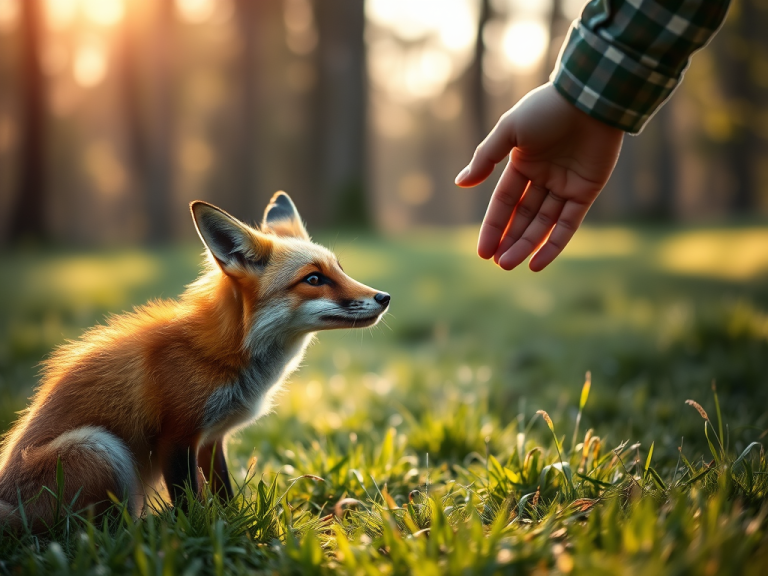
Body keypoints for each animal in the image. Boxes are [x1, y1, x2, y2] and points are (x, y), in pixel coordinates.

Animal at [0, 192, 390, 531]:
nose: (384, 297)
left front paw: (234, 527)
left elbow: (225, 494)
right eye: (313, 279)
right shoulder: (176, 437)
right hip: (99, 447)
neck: (228, 354)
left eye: (340, 270)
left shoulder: (211, 439)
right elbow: (190, 506)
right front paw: (203, 534)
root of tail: (8, 506)